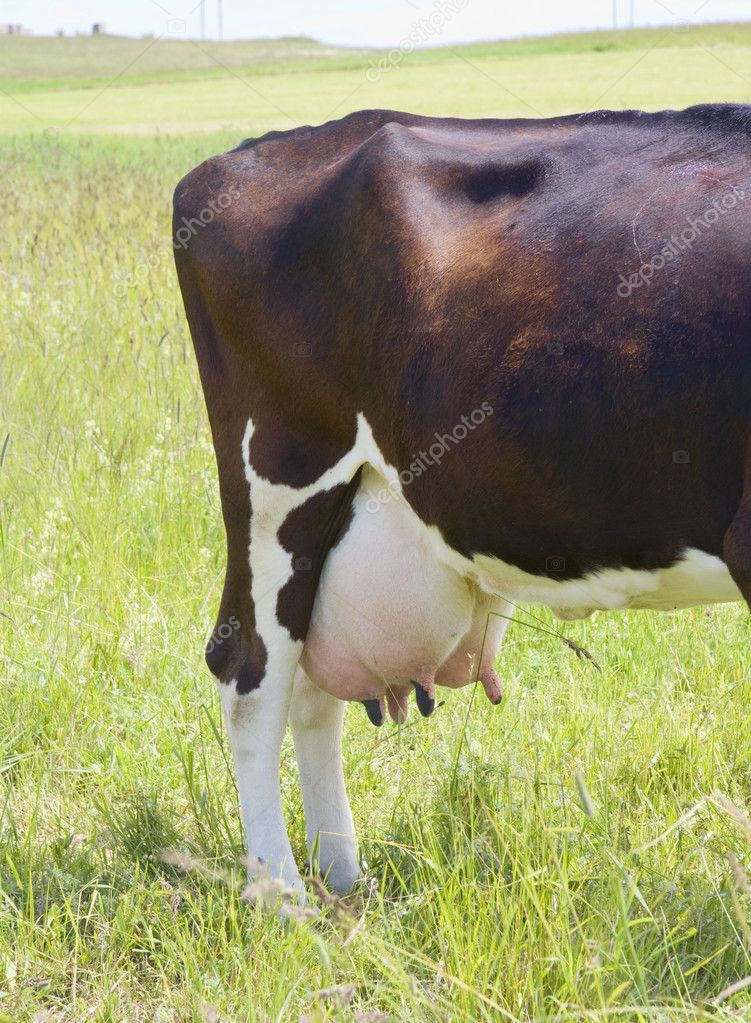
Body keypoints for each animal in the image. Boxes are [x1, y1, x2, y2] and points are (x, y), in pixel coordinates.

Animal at [173, 104, 751, 897]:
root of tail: (250, 154)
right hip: (279, 480)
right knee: (250, 672)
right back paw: (282, 894)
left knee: (309, 689)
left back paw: (343, 879)